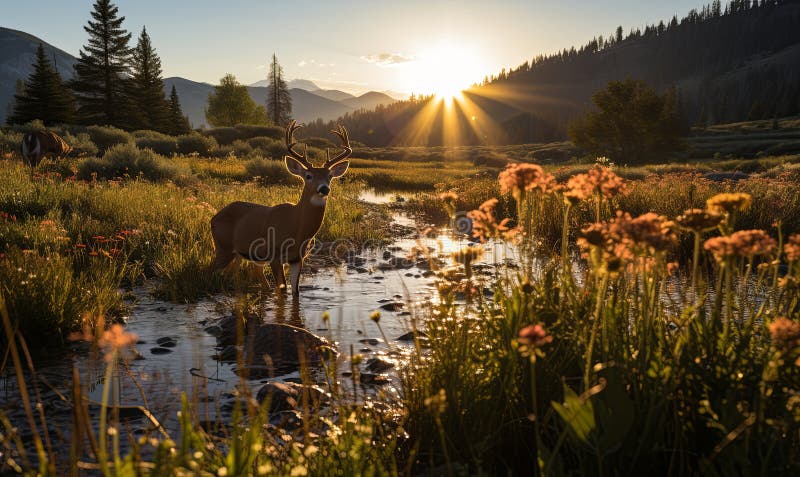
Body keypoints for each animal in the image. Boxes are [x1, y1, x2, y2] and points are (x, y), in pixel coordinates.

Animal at [210, 120, 352, 296]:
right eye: (308, 176)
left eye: (330, 176)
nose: (324, 189)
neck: (297, 229)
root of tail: (213, 218)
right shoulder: (275, 255)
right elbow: (282, 290)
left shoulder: (297, 258)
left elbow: (295, 291)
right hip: (222, 247)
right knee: (213, 272)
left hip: (241, 254)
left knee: (239, 275)